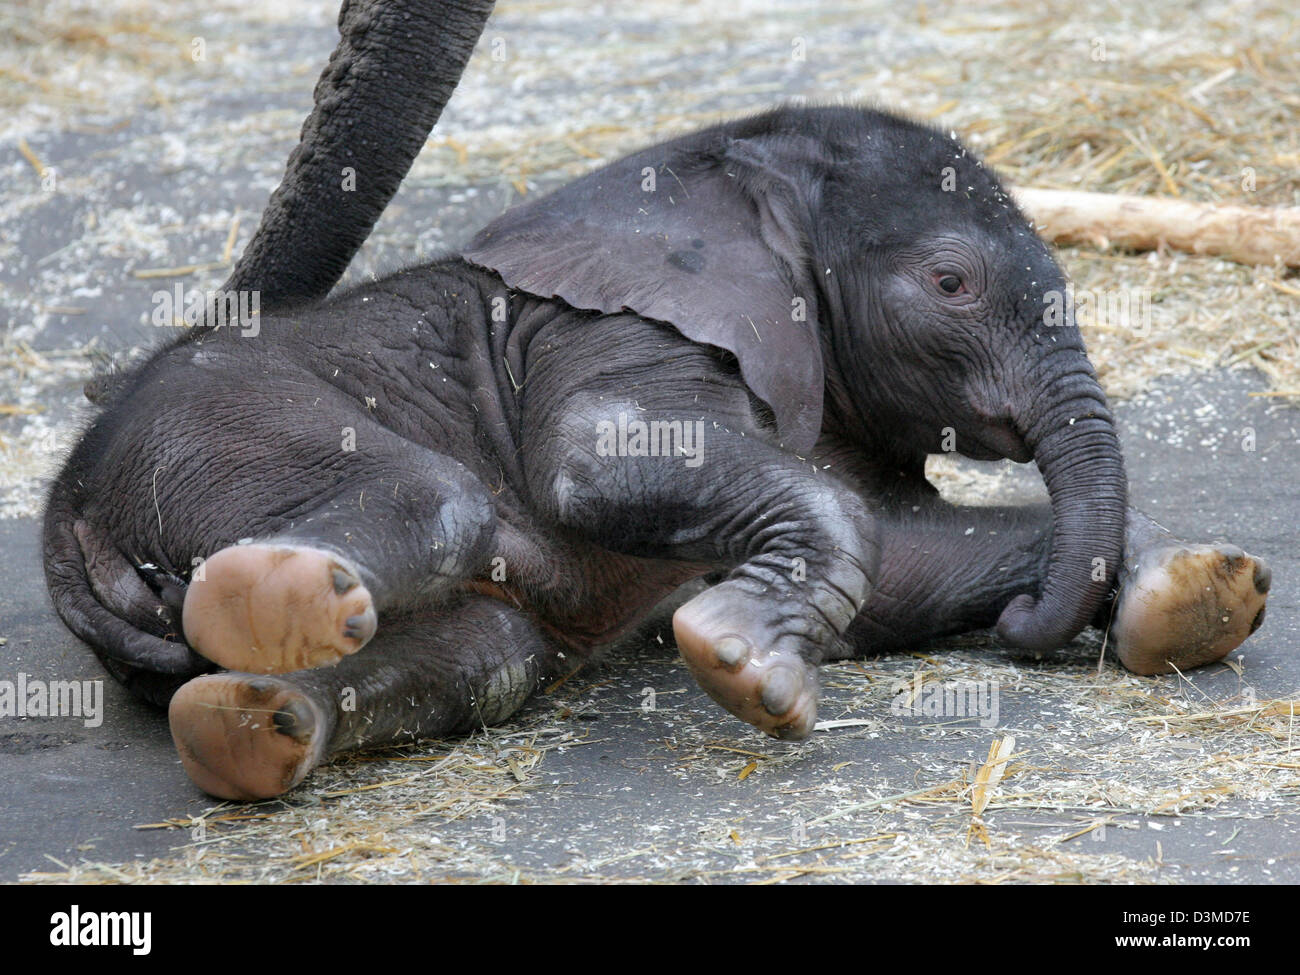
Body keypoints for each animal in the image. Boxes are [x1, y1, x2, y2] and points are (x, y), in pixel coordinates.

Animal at [42, 0, 1270, 800]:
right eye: (950, 284)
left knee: (487, 656)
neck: (740, 158)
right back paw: (265, 594)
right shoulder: (628, 324)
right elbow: (599, 462)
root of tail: (67, 503)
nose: (1022, 634)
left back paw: (253, 725)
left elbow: (908, 563)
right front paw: (741, 666)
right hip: (213, 423)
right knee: (441, 506)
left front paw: (1192, 602)